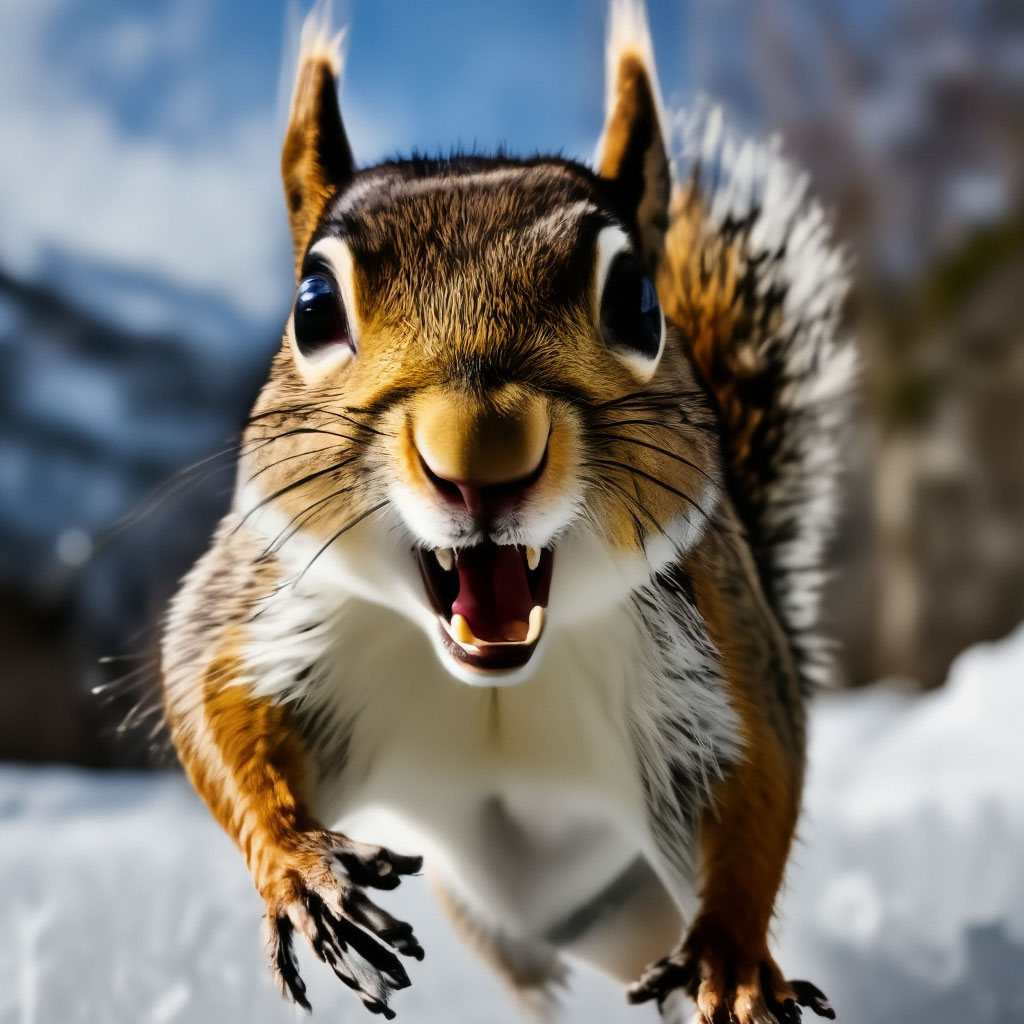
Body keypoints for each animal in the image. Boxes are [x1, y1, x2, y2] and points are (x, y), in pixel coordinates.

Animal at [161, 1, 853, 1021]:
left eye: (636, 299)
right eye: (314, 305)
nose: (479, 452)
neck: (494, 680)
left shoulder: (716, 640)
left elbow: (761, 772)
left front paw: (730, 958)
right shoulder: (274, 605)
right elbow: (211, 701)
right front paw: (304, 872)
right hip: (506, 937)